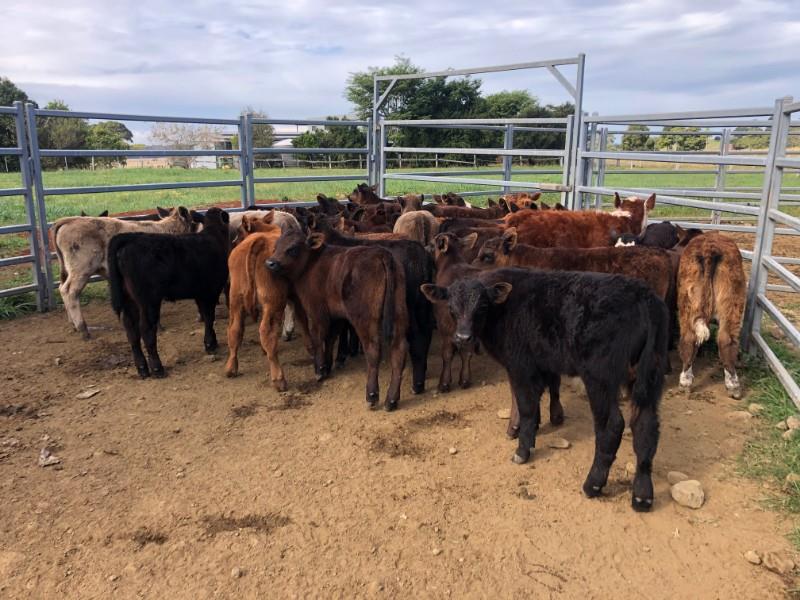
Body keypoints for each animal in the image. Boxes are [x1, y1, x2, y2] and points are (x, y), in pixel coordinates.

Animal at [52, 206, 195, 338]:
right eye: (193, 222)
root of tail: (71, 220)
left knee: (61, 288)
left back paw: (73, 324)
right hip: (82, 269)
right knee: (70, 292)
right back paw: (83, 329)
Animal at [108, 208, 231, 378]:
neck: (213, 235)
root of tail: (130, 238)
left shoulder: (200, 293)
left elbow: (206, 315)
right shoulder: (211, 291)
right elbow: (209, 317)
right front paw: (210, 343)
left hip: (129, 301)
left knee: (131, 332)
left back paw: (142, 368)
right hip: (148, 301)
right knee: (146, 330)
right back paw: (157, 368)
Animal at [266, 229, 409, 410]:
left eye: (292, 249)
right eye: (276, 246)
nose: (270, 263)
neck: (312, 264)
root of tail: (382, 254)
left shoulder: (317, 311)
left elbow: (318, 338)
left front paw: (320, 369)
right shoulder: (337, 315)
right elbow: (331, 338)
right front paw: (327, 366)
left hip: (365, 319)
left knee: (373, 351)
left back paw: (372, 395)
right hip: (399, 314)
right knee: (399, 350)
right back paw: (391, 399)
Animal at [421, 267, 668, 511]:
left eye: (482, 306)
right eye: (451, 307)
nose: (463, 338)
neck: (502, 310)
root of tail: (642, 294)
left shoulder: (520, 366)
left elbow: (526, 406)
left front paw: (522, 450)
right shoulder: (543, 365)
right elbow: (542, 396)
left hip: (600, 379)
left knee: (612, 426)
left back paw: (593, 484)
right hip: (649, 379)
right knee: (645, 426)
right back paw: (642, 495)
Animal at [677, 233, 746, 399]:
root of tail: (710, 248)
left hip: (689, 303)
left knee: (689, 339)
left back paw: (686, 382)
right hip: (733, 303)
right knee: (726, 340)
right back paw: (733, 385)